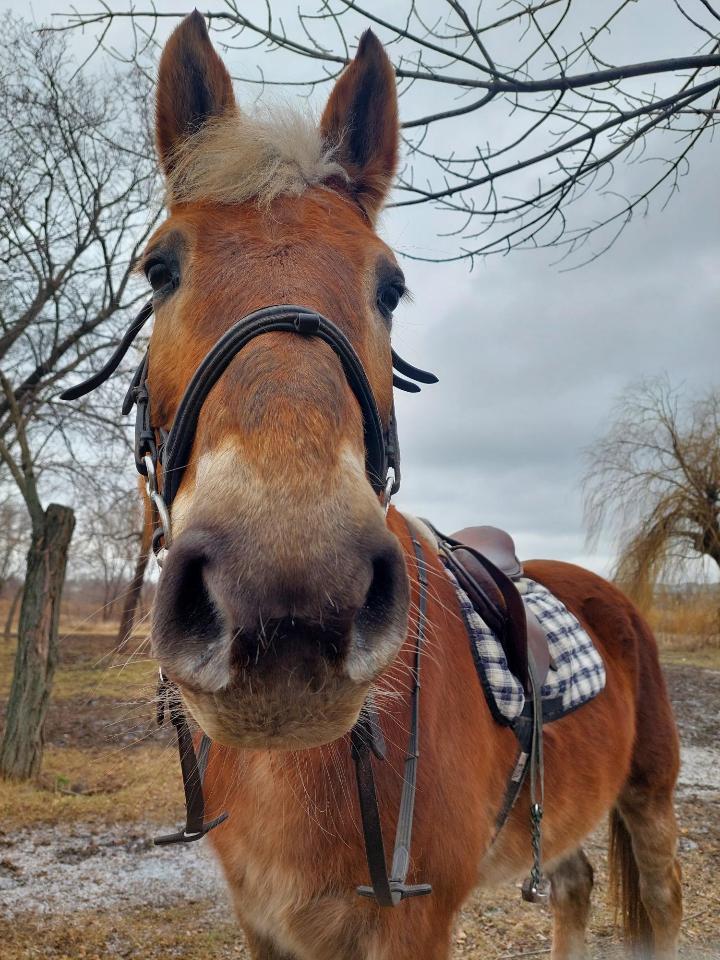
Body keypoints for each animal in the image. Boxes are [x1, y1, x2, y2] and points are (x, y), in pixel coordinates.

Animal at [135, 15, 680, 960]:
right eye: (160, 270)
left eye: (390, 287)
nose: (288, 600)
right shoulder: (262, 922)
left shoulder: (414, 924)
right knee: (573, 886)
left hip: (651, 802)